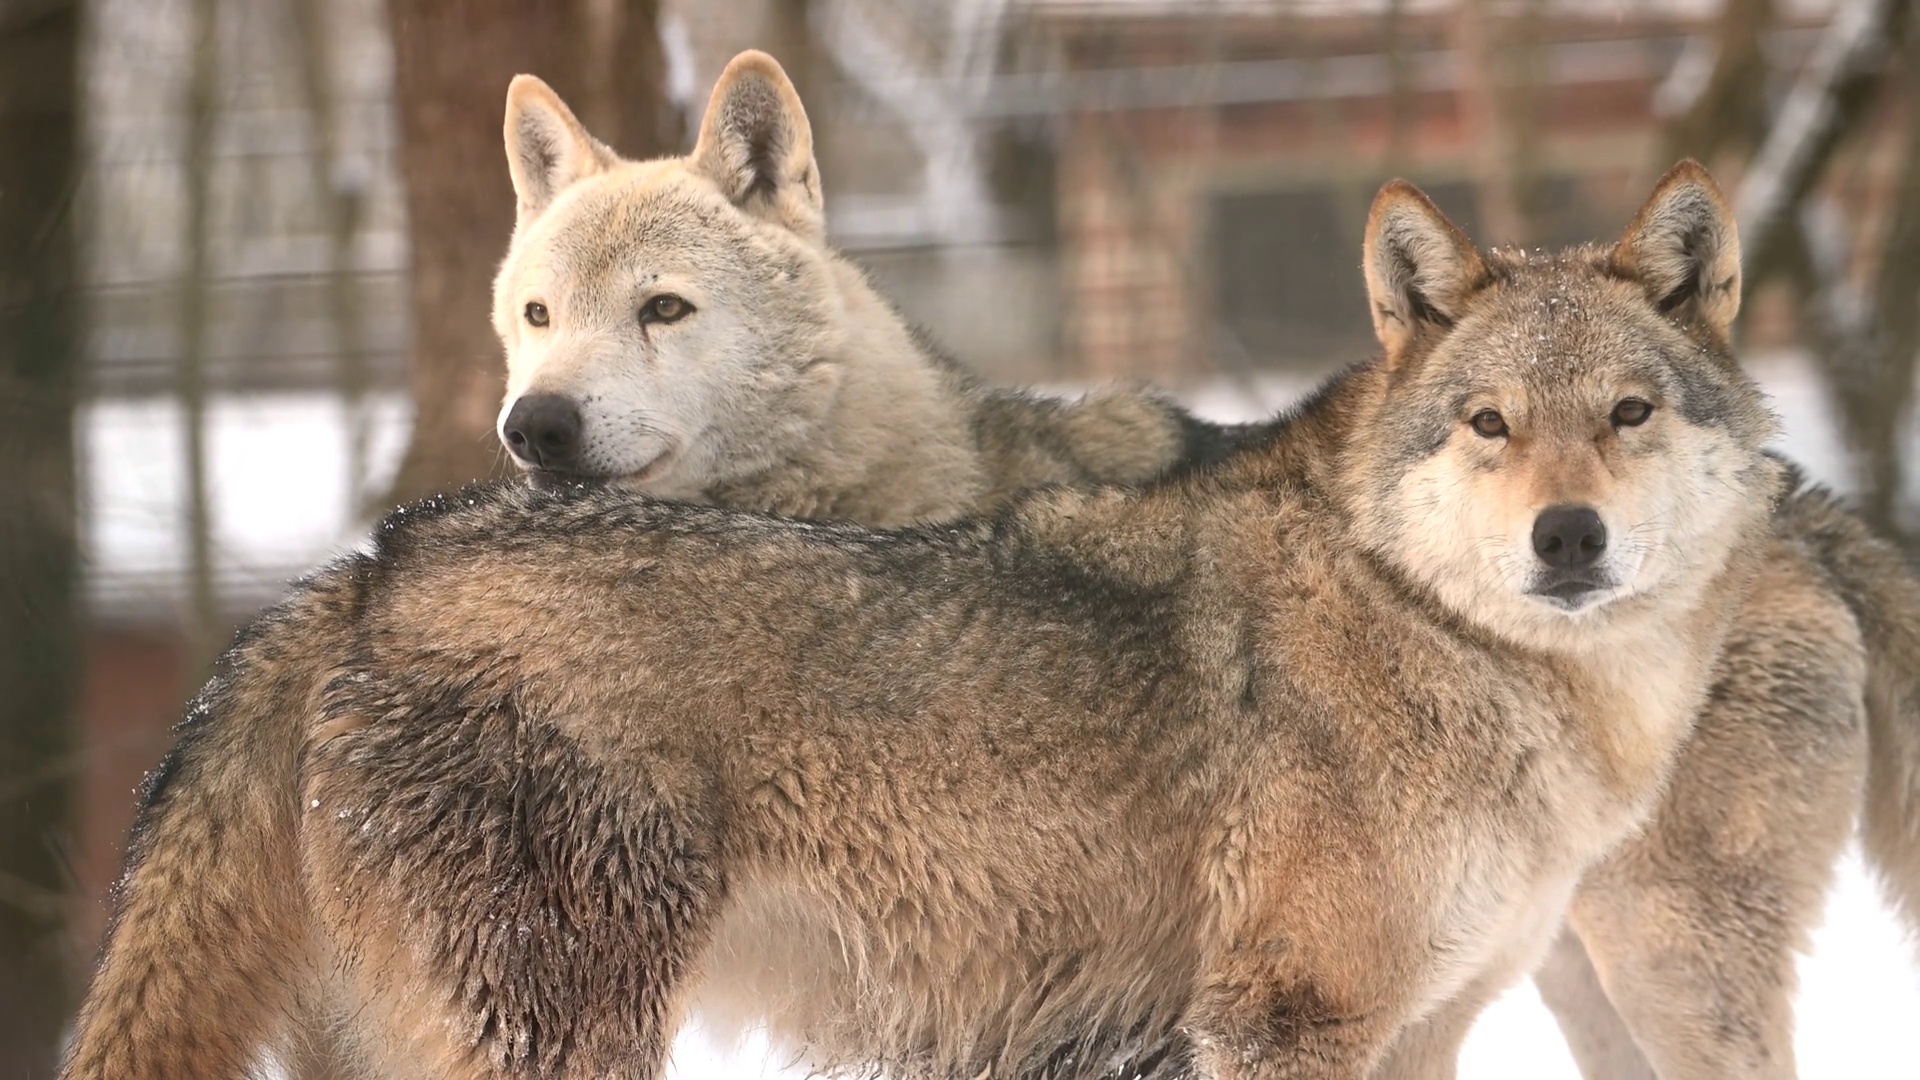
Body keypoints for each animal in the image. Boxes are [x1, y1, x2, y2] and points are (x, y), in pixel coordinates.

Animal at [64, 152, 1782, 1078]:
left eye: (1628, 413)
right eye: (1489, 424)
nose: (1569, 538)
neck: (1452, 642)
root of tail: (368, 569)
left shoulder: (1420, 1027)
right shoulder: (1283, 1022)